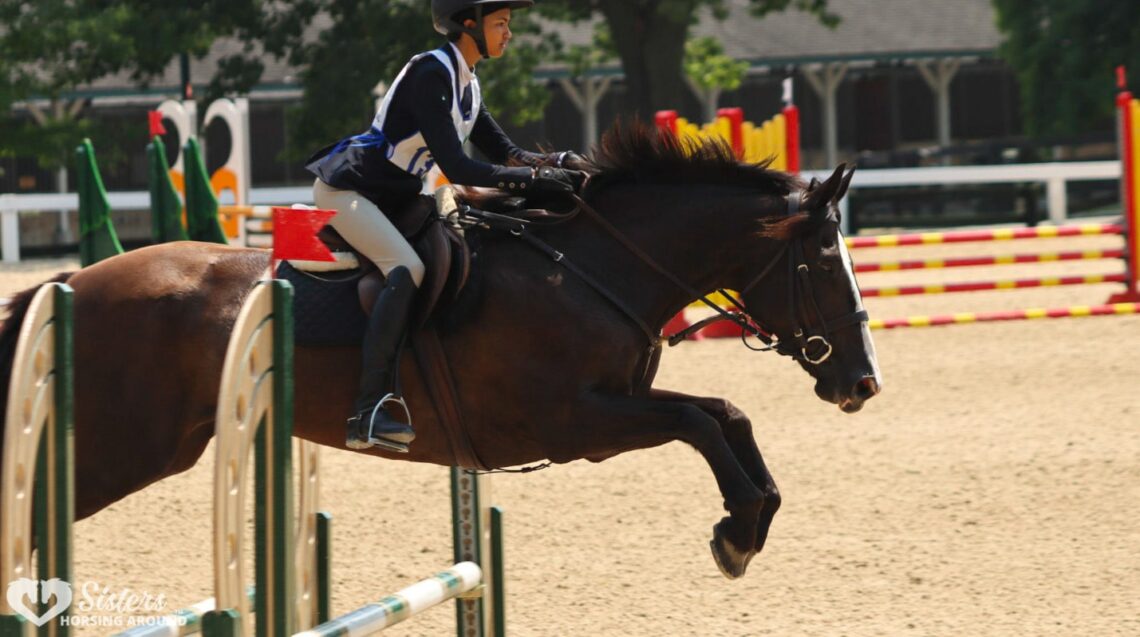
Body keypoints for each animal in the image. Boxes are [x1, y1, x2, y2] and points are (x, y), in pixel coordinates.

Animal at [0, 122, 880, 579]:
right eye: (823, 261)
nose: (863, 383)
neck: (592, 267)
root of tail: (72, 284)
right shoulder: (578, 423)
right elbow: (704, 420)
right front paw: (736, 532)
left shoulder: (611, 411)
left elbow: (725, 415)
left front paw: (750, 519)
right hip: (120, 451)